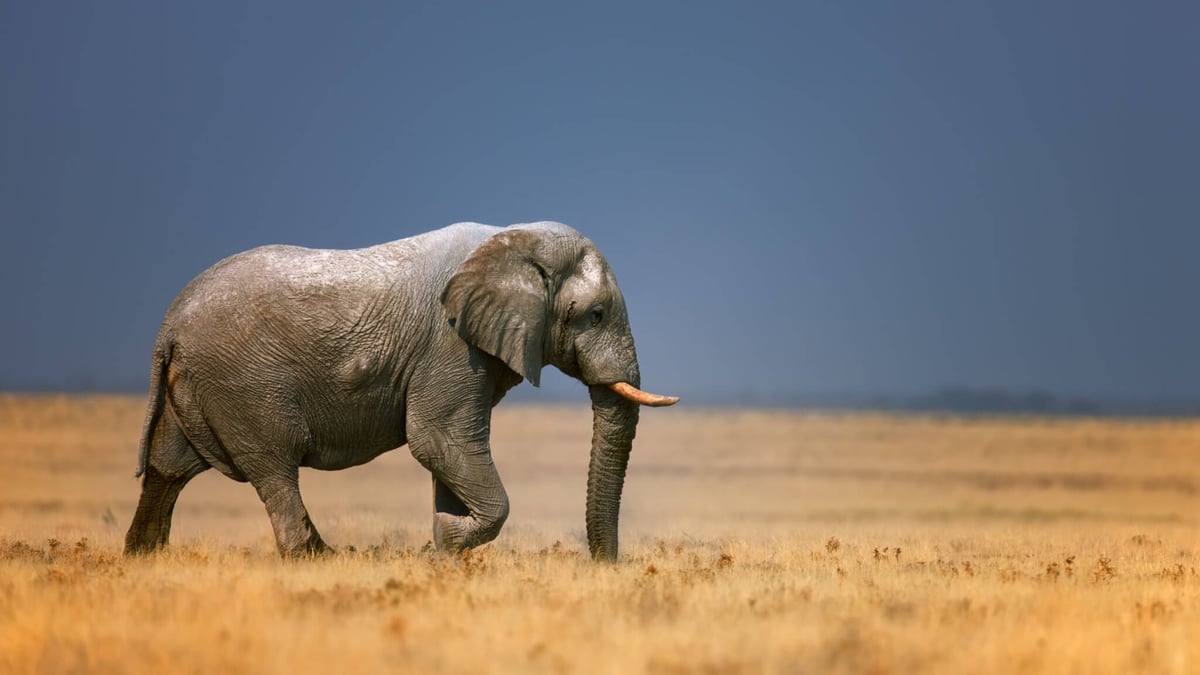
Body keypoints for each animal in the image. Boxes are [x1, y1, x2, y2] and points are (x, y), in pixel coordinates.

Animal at [124, 221, 677, 560]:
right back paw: (318, 560)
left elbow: (449, 452)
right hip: (244, 383)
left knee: (170, 467)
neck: (515, 242)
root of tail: (169, 325)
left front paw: (443, 549)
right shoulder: (449, 344)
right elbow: (436, 440)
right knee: (274, 467)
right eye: (596, 315)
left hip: (199, 382)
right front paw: (443, 544)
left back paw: (144, 558)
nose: (605, 567)